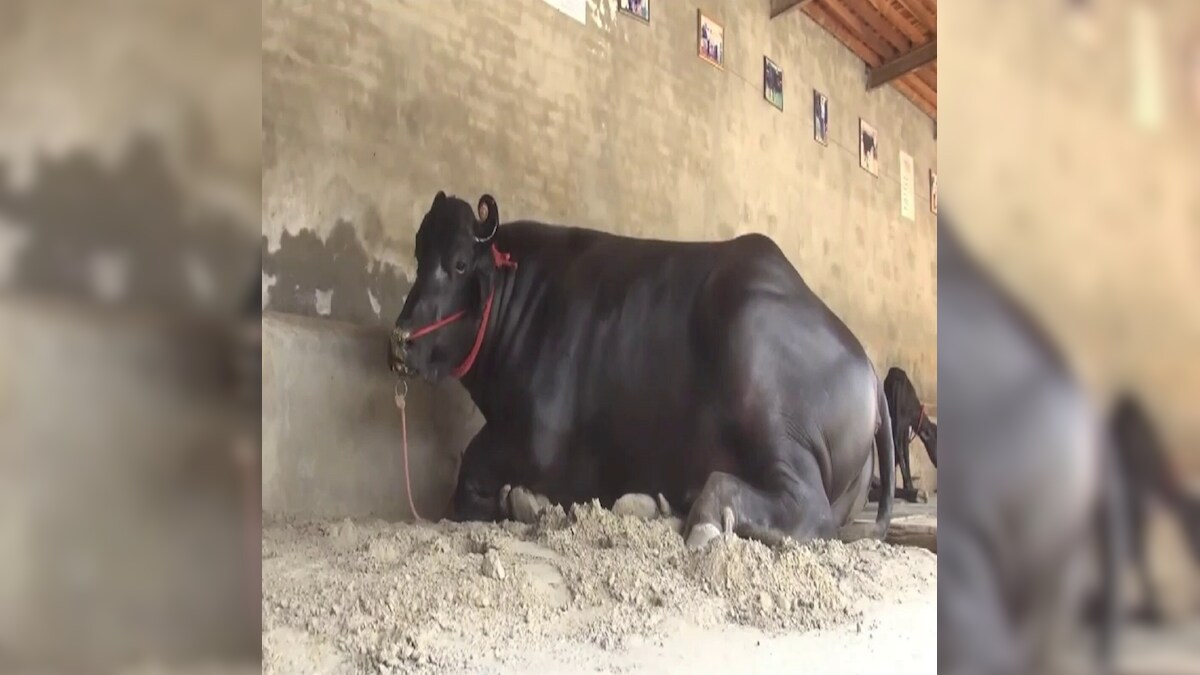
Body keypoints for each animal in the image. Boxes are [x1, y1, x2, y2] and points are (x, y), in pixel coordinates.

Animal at [388, 191, 895, 549]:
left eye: (458, 263)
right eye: (418, 255)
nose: (401, 341)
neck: (522, 300)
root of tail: (870, 371)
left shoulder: (536, 435)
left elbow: (468, 474)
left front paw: (525, 501)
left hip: (768, 401)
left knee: (807, 509)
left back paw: (707, 518)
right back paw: (655, 504)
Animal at [868, 366, 938, 503]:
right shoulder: (906, 424)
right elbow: (905, 451)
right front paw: (908, 485)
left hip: (890, 412)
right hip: (899, 417)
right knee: (896, 443)